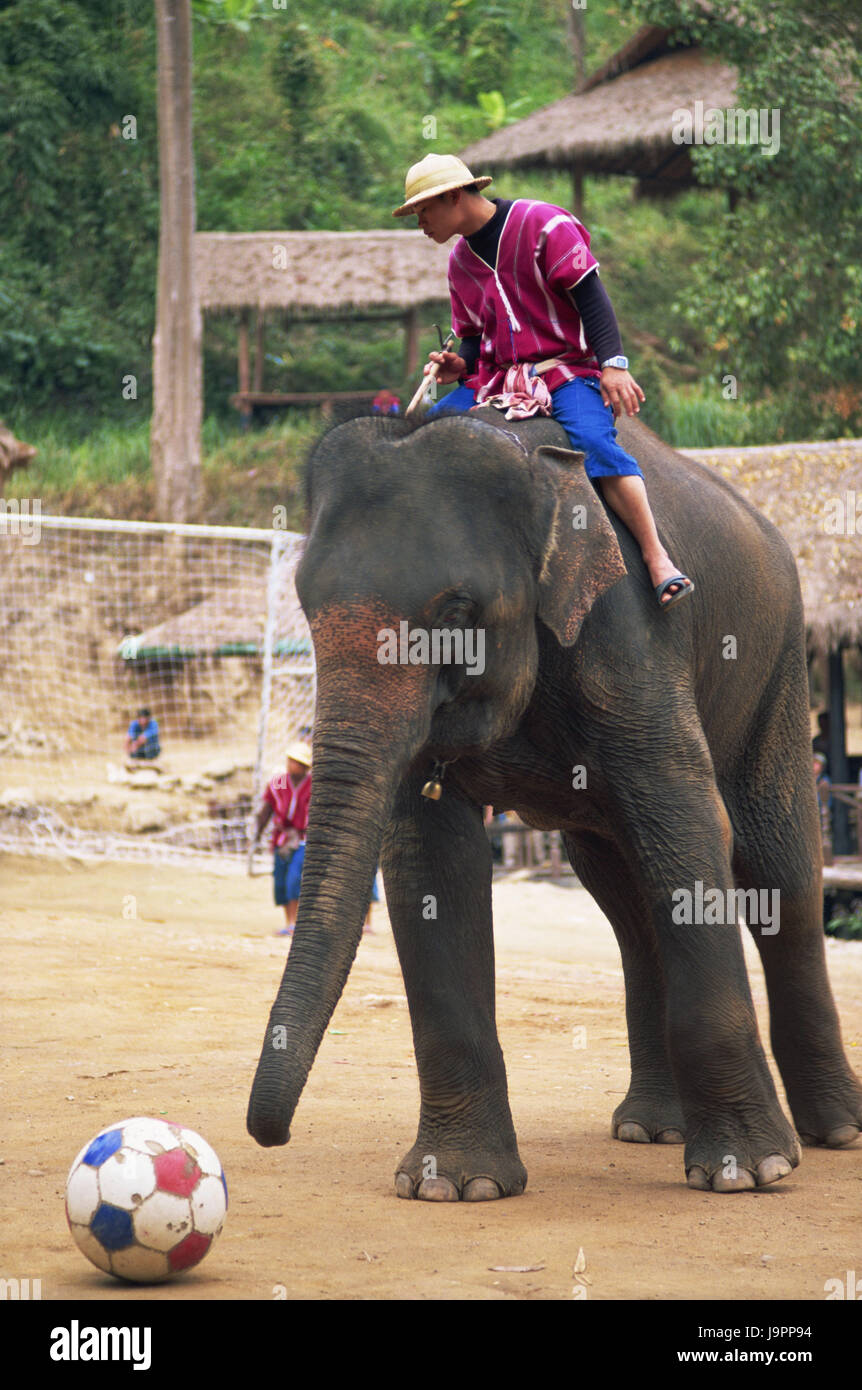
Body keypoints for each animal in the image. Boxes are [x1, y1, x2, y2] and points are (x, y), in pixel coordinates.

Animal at [247, 406, 862, 1199]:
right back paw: (650, 1128)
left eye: (458, 610)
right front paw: (455, 1185)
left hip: (777, 662)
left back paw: (834, 1133)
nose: (271, 1137)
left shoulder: (630, 636)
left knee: (778, 871)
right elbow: (431, 862)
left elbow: (689, 821)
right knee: (625, 896)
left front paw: (745, 1173)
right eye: (304, 606)